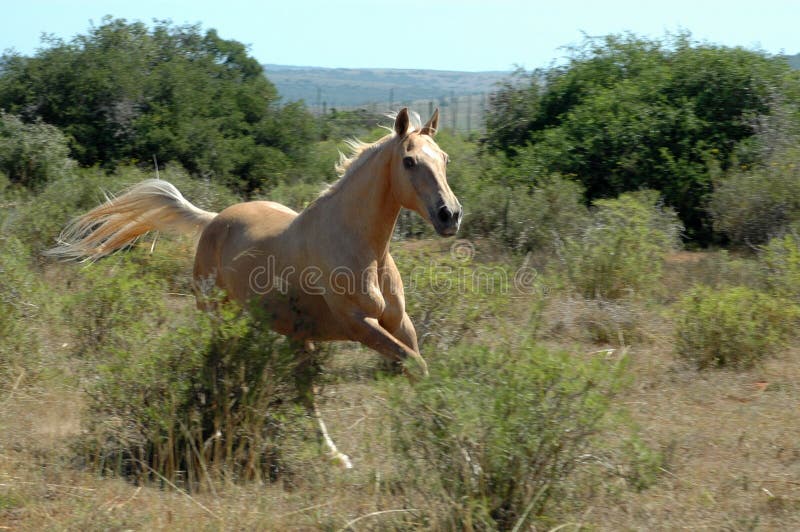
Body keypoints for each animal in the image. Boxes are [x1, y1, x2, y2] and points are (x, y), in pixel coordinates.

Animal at [47, 108, 462, 468]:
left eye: (444, 158)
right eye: (409, 161)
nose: (450, 215)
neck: (362, 247)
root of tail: (214, 219)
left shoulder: (399, 323)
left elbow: (419, 368)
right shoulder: (358, 324)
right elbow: (417, 365)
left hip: (294, 336)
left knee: (297, 389)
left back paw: (330, 453)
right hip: (220, 318)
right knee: (224, 370)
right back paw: (220, 434)